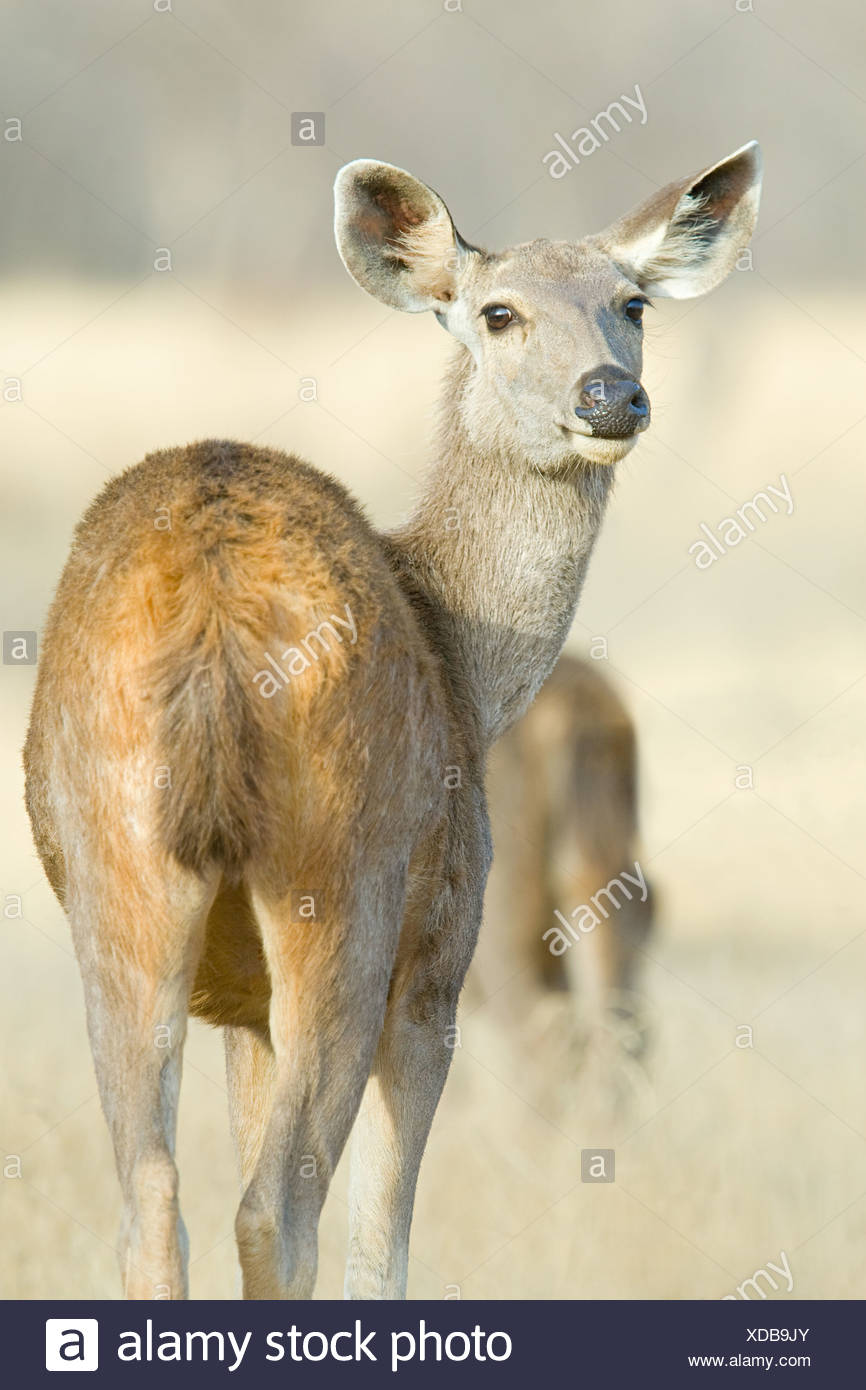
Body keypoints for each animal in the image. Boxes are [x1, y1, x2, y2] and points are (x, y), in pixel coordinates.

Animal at [23, 141, 761, 1300]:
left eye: (631, 303)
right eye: (498, 313)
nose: (612, 394)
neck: (466, 657)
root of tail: (212, 606)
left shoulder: (239, 1003)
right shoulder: (437, 955)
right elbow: (383, 1243)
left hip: (119, 872)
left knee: (151, 1199)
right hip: (347, 887)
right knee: (278, 1208)